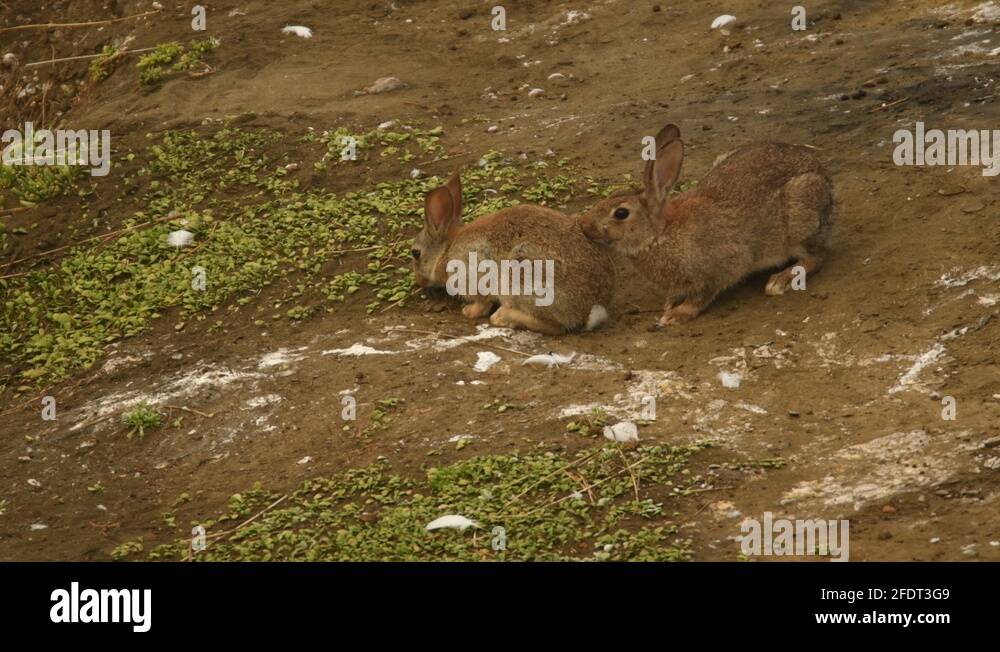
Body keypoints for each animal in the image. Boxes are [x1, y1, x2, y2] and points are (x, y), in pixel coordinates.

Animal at [411, 173, 615, 335]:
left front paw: (469, 311)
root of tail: (591, 308)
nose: (419, 282)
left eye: (416, 253)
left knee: (554, 326)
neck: (445, 252)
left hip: (521, 277)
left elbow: (482, 303)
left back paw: (502, 317)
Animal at [577, 123, 834, 331]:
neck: (659, 234)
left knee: (817, 257)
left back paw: (780, 280)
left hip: (800, 215)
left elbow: (703, 295)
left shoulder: (718, 267)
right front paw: (669, 305)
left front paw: (676, 315)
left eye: (621, 213)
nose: (583, 225)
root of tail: (824, 176)